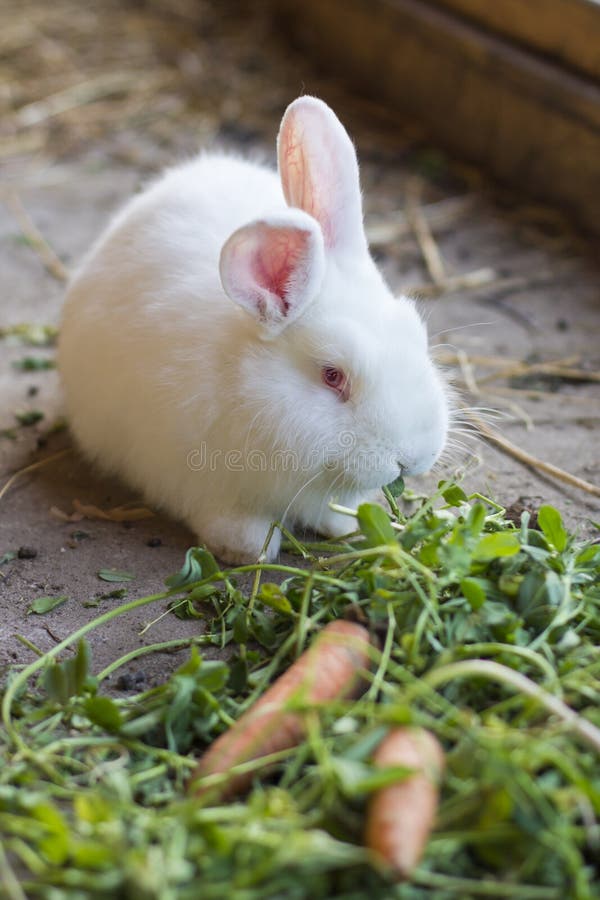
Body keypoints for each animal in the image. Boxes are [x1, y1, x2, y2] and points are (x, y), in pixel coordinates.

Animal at [58, 96, 450, 564]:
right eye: (332, 375)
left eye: (417, 334)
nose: (412, 458)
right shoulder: (198, 483)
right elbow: (237, 526)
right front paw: (247, 551)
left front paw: (345, 526)